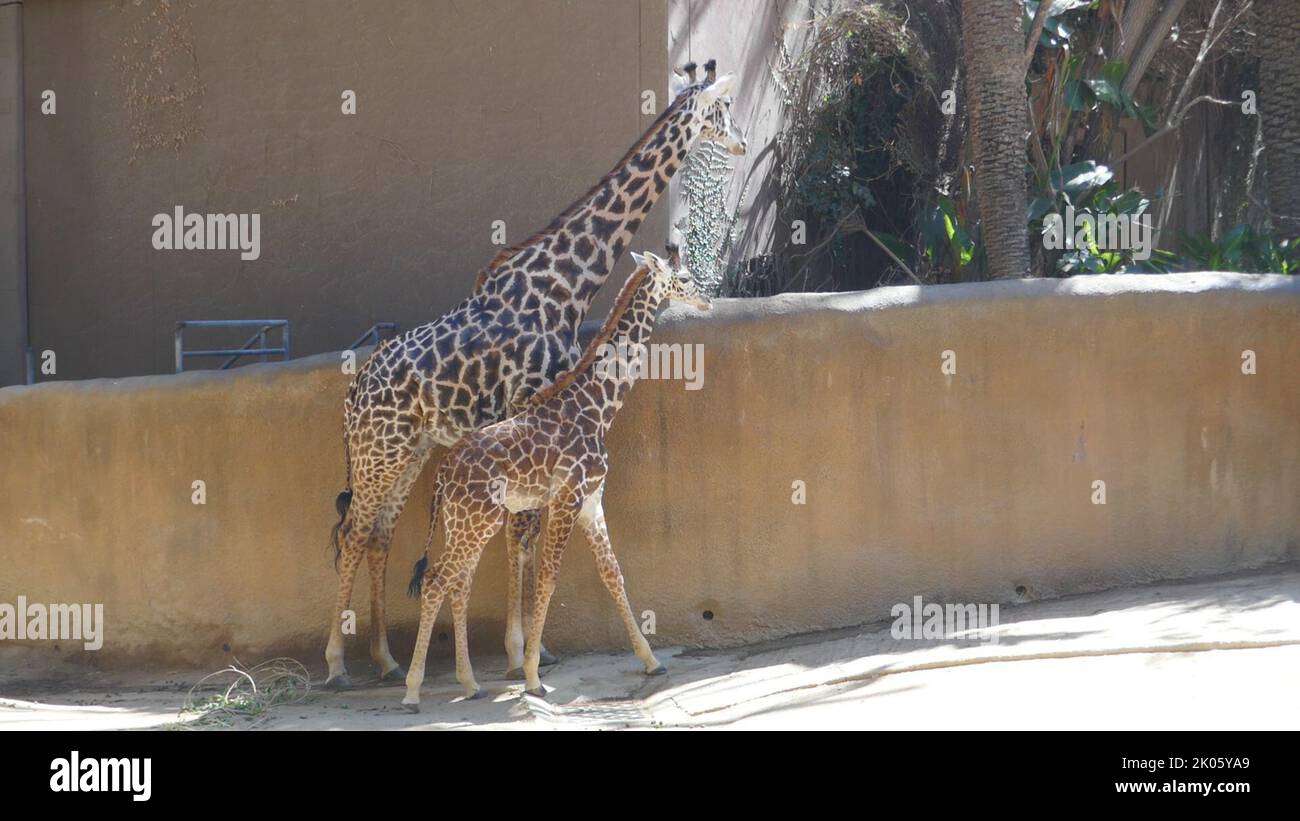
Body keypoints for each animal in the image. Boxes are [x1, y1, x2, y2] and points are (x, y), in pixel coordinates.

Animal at [401, 244, 709, 709]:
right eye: (687, 278)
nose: (707, 300)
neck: (600, 406)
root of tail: (443, 473)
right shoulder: (567, 497)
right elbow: (548, 575)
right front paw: (531, 676)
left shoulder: (592, 500)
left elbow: (612, 571)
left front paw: (651, 660)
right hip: (478, 520)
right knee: (439, 580)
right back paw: (414, 690)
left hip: (463, 522)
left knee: (458, 582)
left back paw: (470, 683)